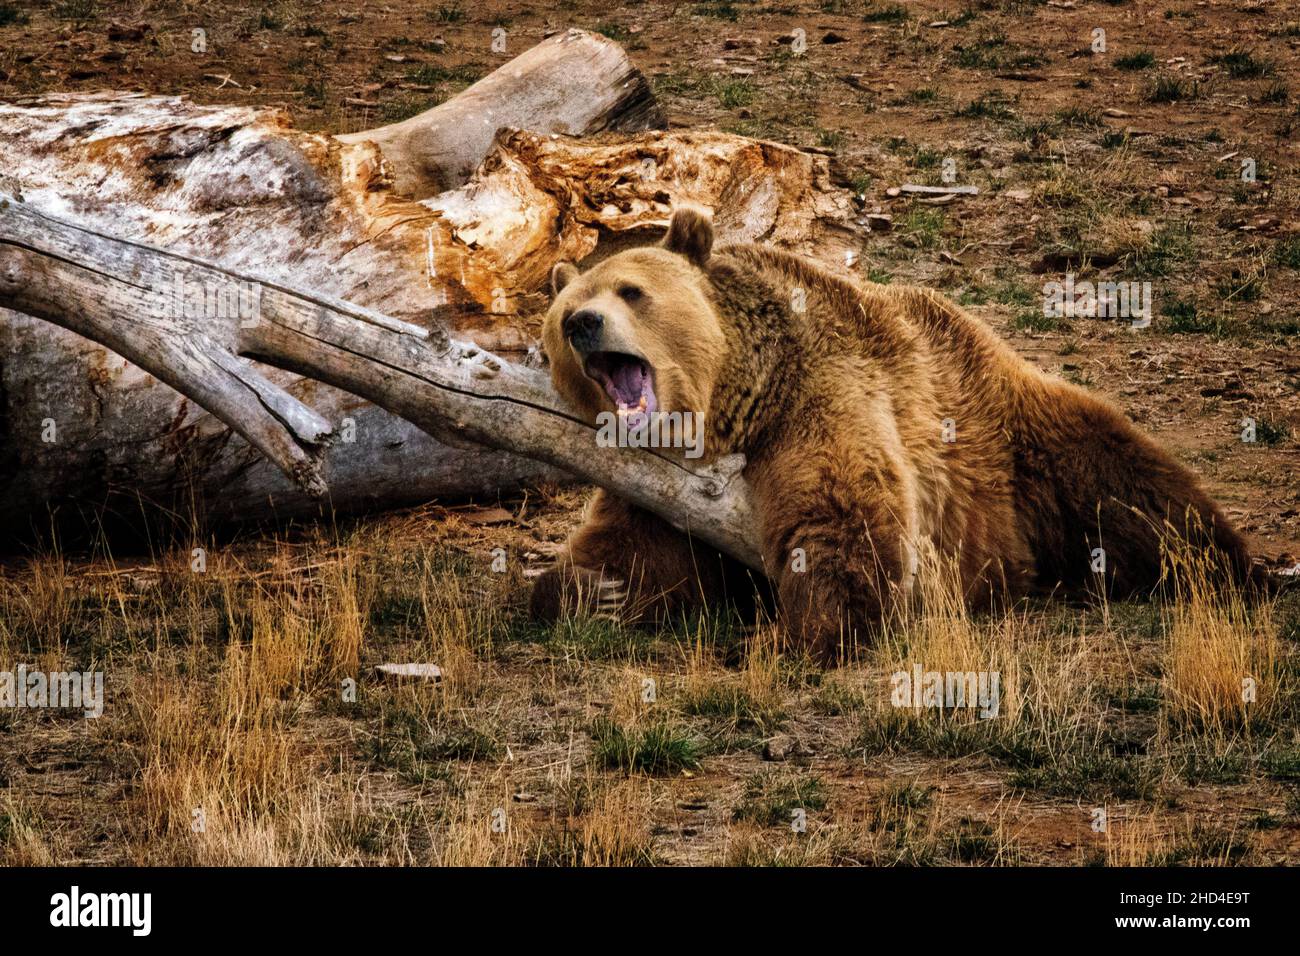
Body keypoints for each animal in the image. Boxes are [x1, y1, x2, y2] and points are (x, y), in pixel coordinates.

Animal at [530, 206, 1256, 660]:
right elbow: (637, 549)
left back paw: (1227, 568)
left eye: (631, 290)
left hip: (1010, 431)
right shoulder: (656, 483)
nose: (583, 324)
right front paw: (577, 590)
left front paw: (803, 631)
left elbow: (840, 512)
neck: (735, 403)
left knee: (1127, 483)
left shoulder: (823, 390)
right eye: (566, 310)